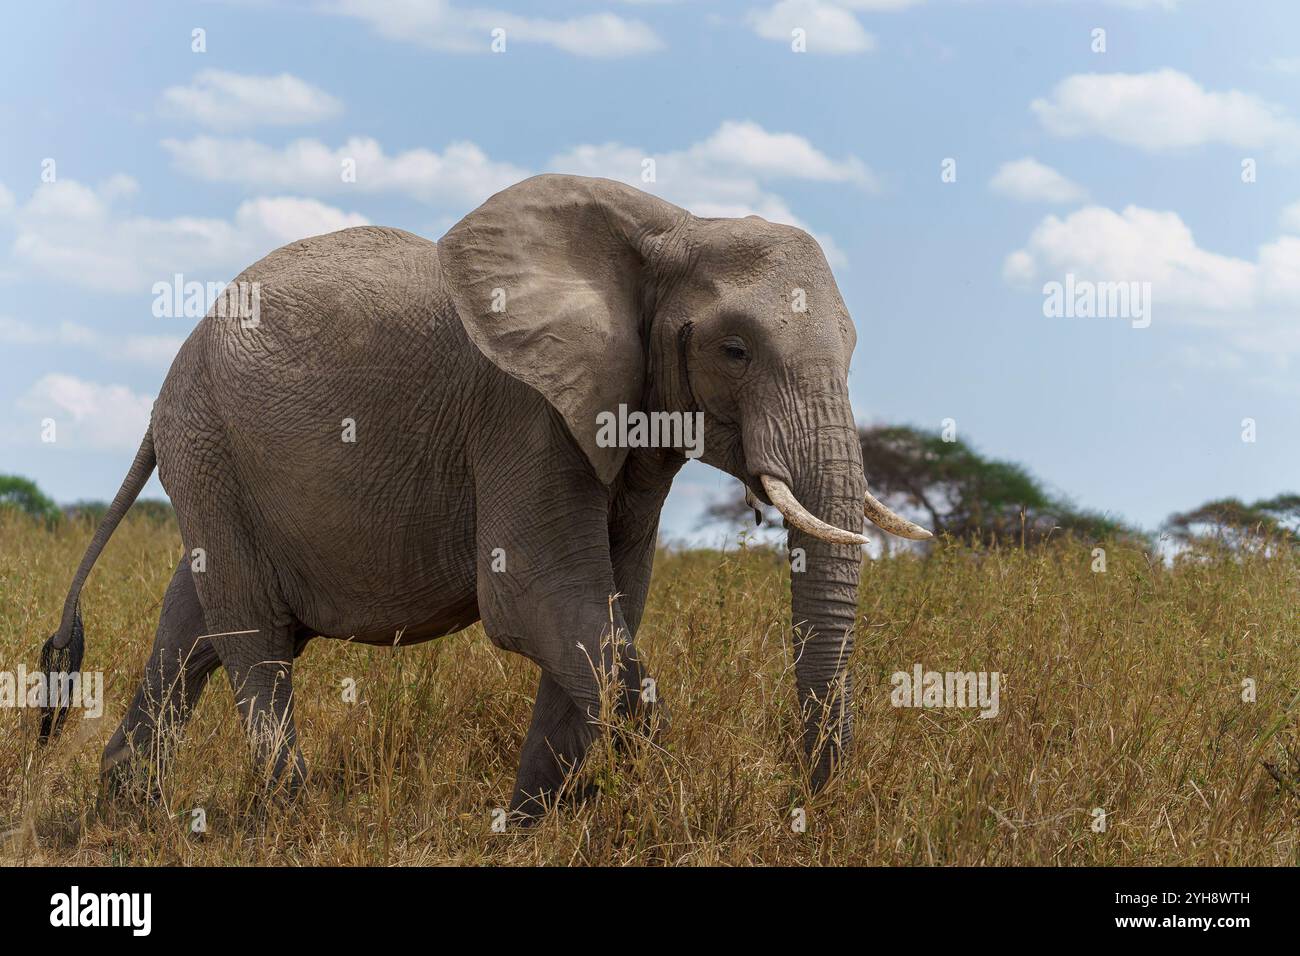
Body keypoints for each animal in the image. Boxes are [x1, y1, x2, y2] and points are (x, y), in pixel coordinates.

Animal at [38, 174, 930, 817]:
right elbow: (539, 601)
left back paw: (126, 814)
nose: (808, 799)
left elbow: (609, 610)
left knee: (192, 624)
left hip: (215, 459)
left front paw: (531, 826)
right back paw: (286, 817)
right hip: (209, 442)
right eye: (735, 350)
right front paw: (666, 808)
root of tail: (167, 382)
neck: (673, 224)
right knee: (250, 631)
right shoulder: (521, 415)